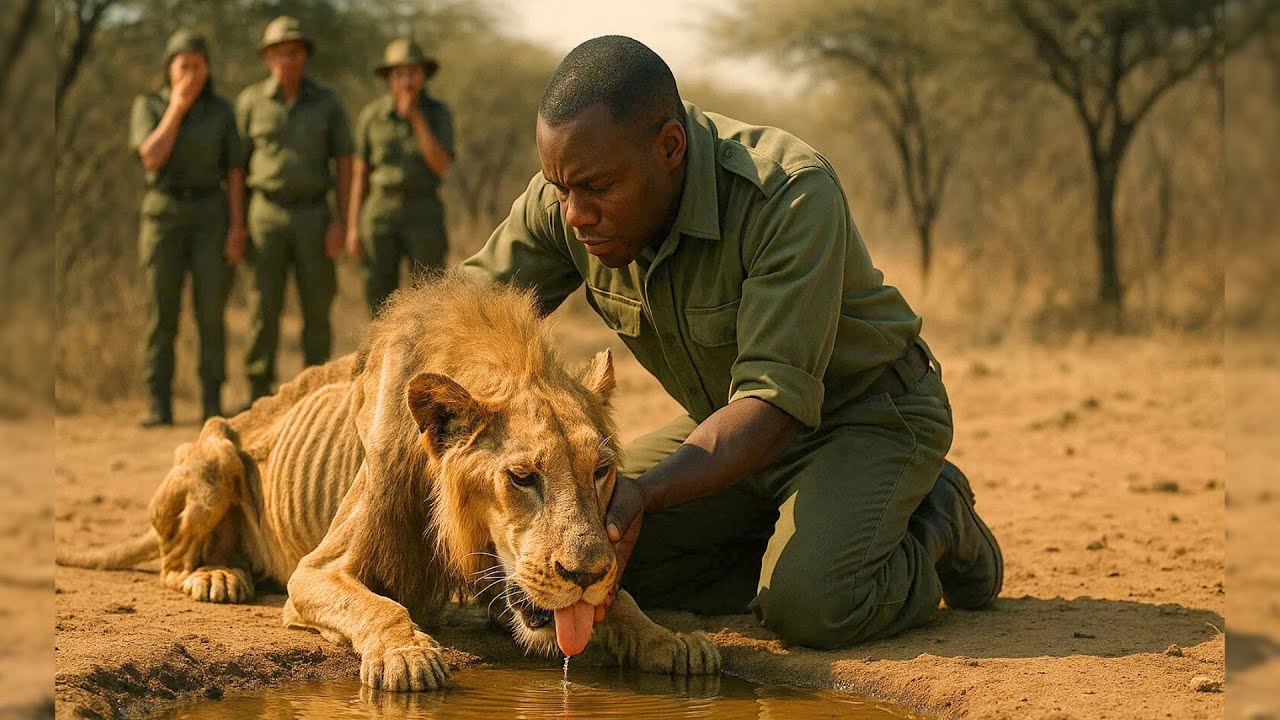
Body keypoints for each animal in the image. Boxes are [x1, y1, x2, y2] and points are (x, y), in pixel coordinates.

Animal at [57, 273, 720, 692]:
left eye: (601, 471)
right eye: (521, 476)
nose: (586, 574)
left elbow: (624, 602)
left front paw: (672, 640)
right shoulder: (315, 572)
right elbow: (378, 605)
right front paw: (407, 655)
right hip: (214, 453)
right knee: (173, 560)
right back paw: (216, 576)